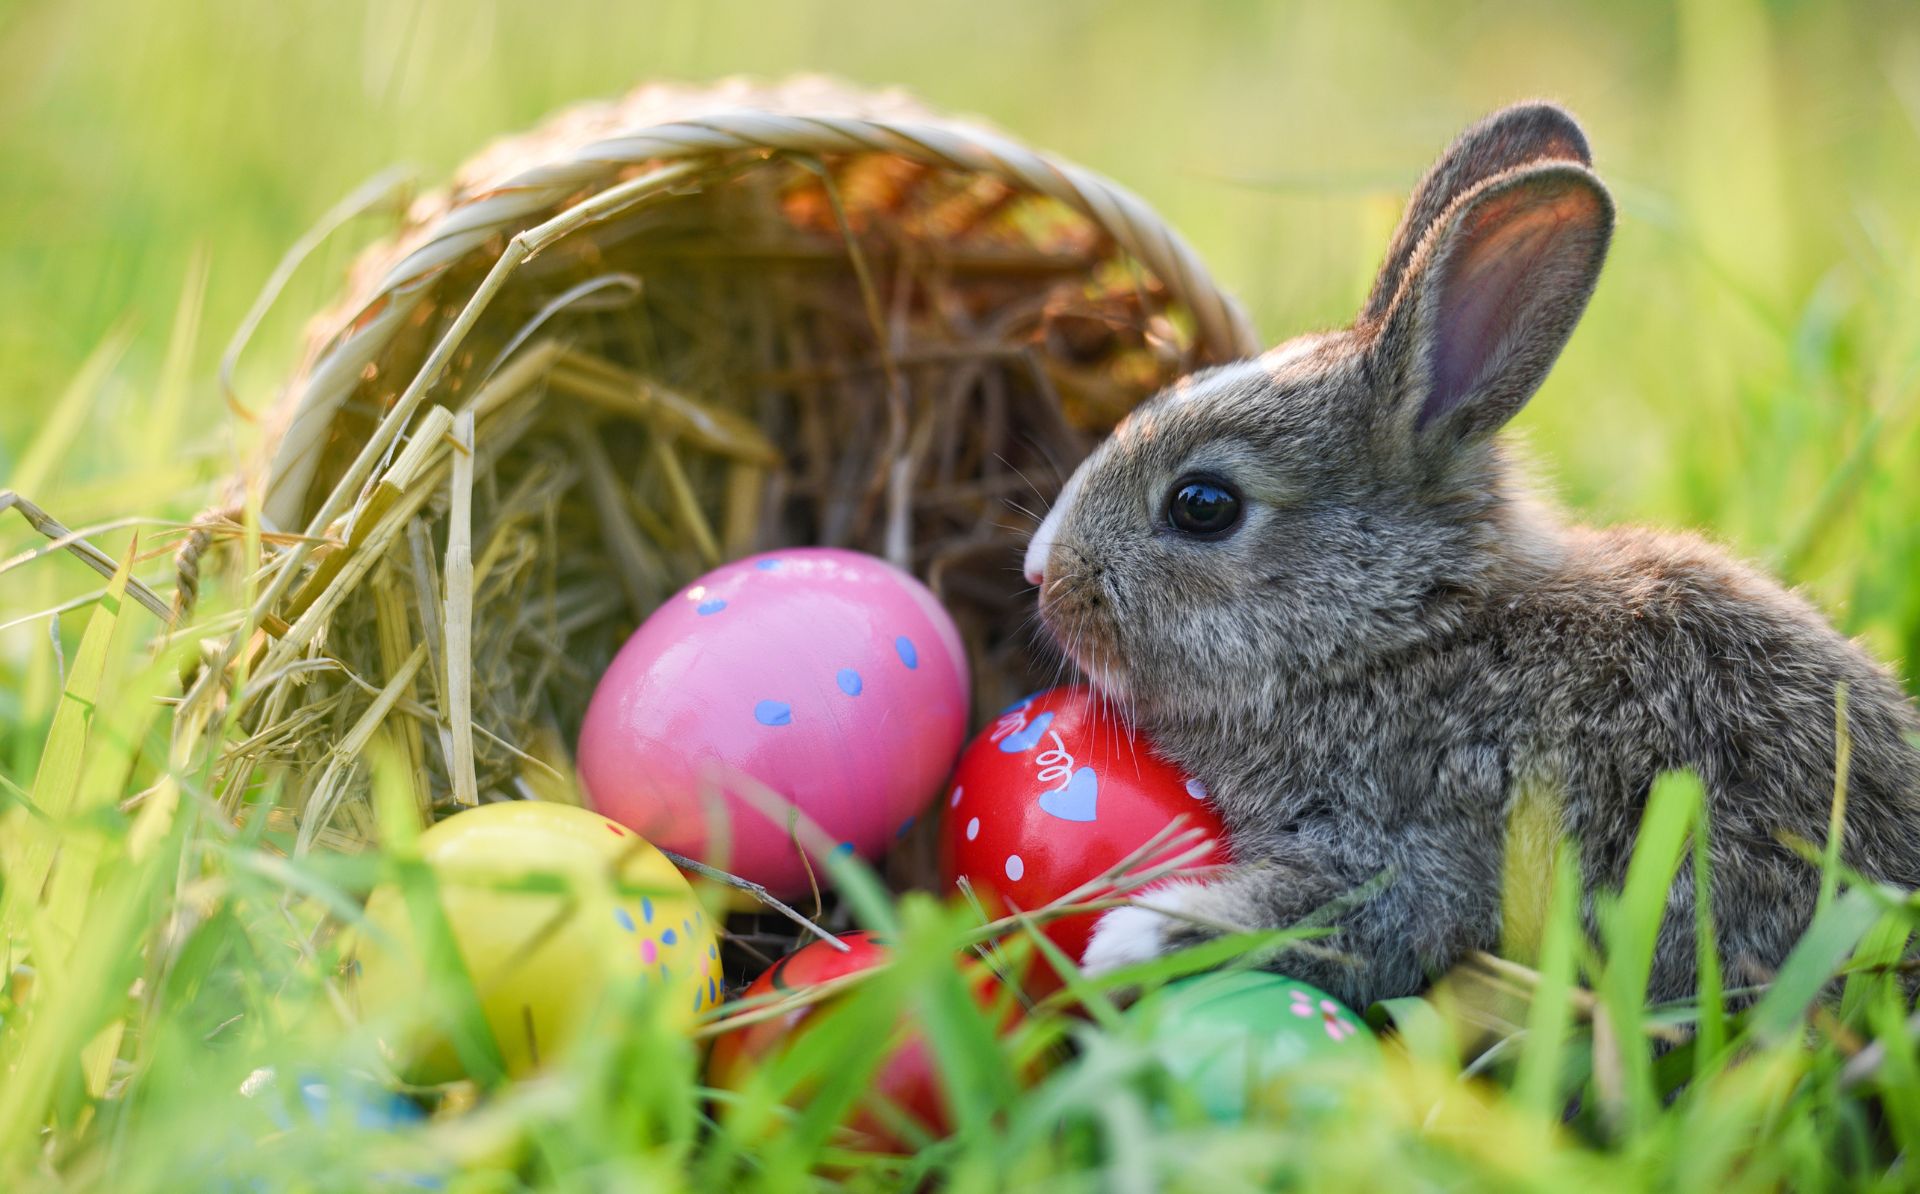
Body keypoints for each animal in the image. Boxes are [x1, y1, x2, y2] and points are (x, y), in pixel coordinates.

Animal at [1021, 101, 1920, 1009]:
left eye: (1203, 505)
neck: (1405, 634)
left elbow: (1348, 917)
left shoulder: (1419, 840)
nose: (1041, 577)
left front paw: (1125, 945)